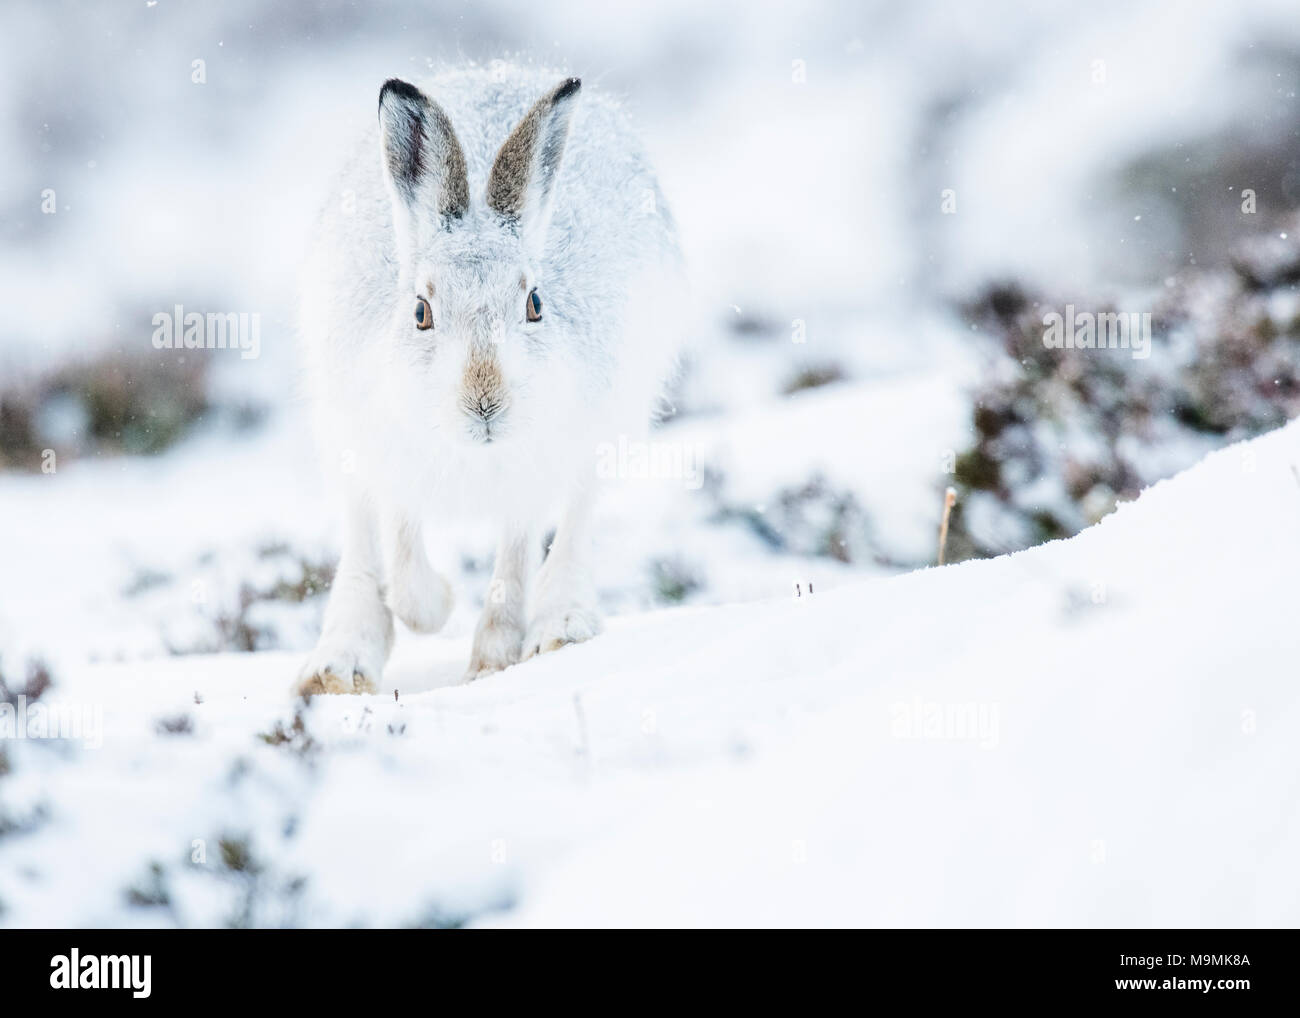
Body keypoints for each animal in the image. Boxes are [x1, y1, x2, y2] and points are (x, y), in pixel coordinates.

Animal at [295, 64, 683, 696]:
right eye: (420, 312)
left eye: (535, 304)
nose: (485, 403)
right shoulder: (384, 453)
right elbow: (403, 564)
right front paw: (438, 606)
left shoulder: (533, 469)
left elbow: (515, 562)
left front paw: (491, 664)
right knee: (362, 550)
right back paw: (336, 668)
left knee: (573, 526)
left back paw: (562, 628)